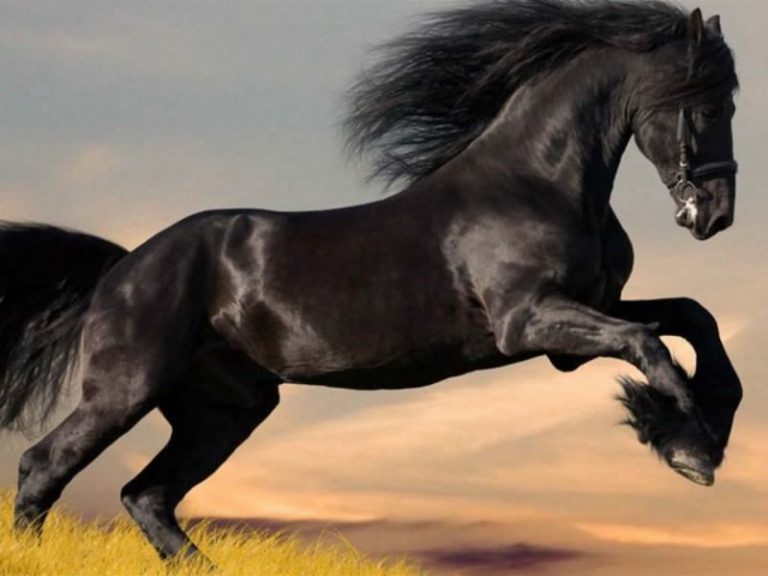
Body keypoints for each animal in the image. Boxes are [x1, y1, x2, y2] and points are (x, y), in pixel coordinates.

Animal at [0, 0, 742, 563]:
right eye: (708, 108)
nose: (716, 215)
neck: (536, 183)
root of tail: (124, 265)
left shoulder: (582, 319)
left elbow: (692, 317)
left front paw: (698, 427)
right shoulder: (528, 320)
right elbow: (650, 343)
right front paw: (690, 445)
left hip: (226, 409)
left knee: (147, 496)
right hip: (126, 388)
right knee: (45, 466)